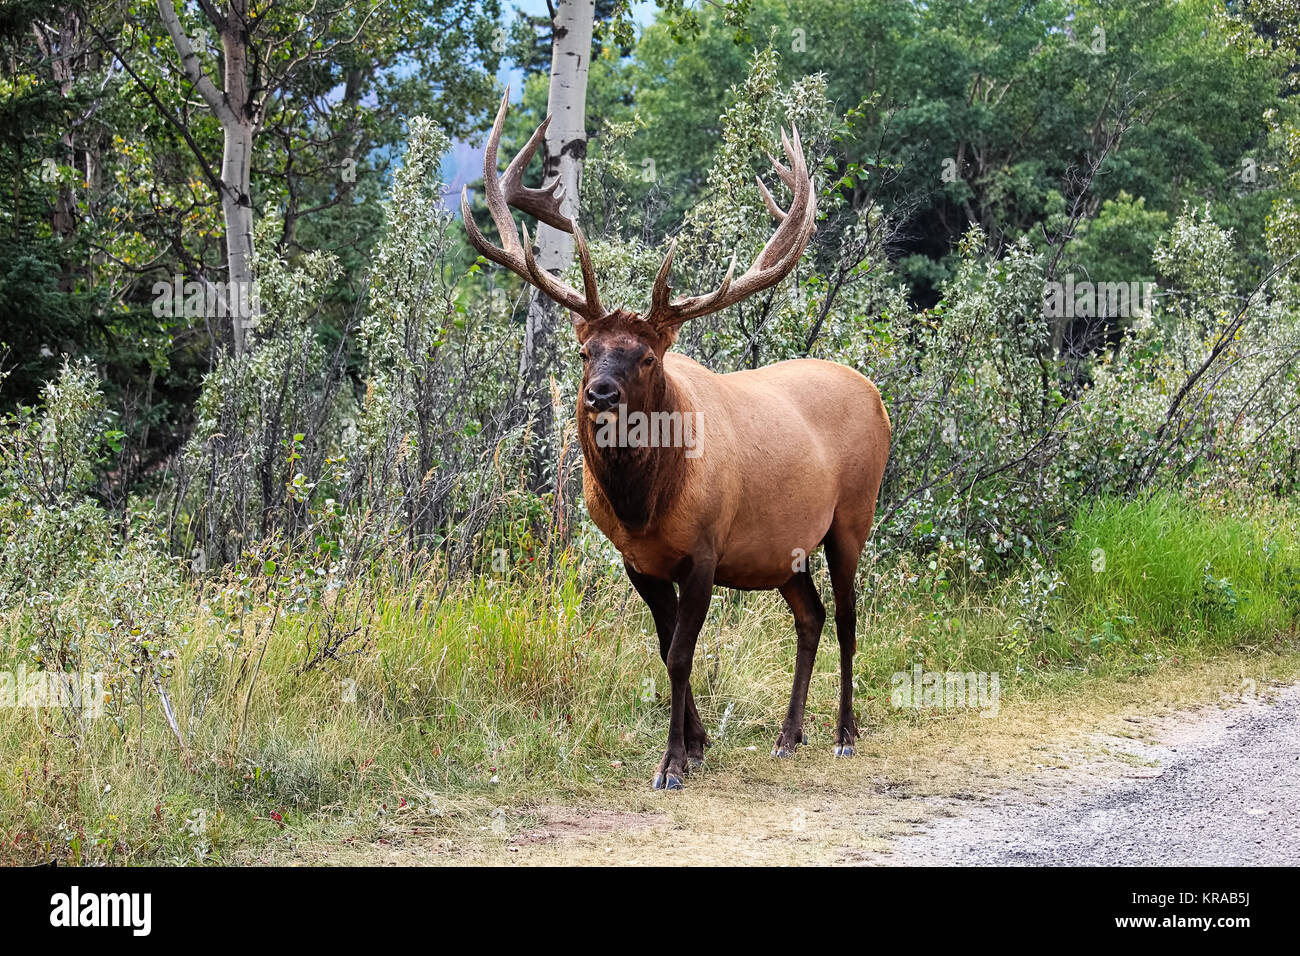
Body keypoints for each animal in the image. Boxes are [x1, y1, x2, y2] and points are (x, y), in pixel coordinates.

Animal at [462, 92, 891, 790]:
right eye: (585, 352)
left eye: (645, 357)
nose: (600, 395)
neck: (644, 505)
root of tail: (877, 396)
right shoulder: (639, 560)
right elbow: (665, 648)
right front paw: (697, 743)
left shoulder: (706, 550)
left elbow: (683, 655)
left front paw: (672, 763)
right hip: (782, 550)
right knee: (812, 616)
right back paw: (788, 734)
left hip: (853, 516)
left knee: (850, 619)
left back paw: (844, 734)